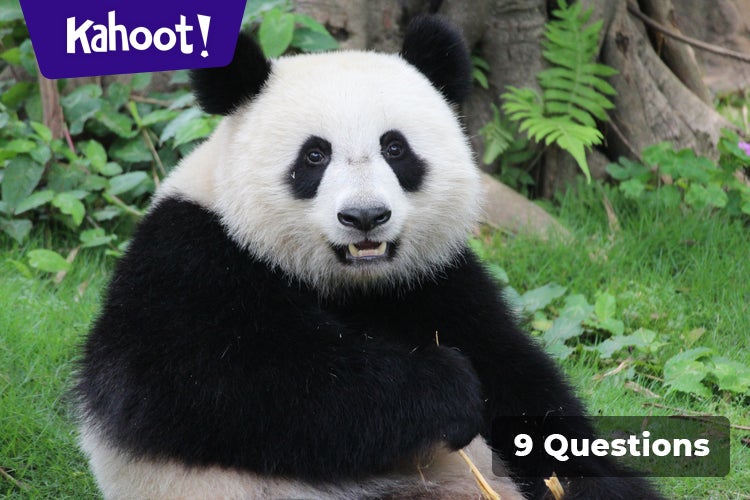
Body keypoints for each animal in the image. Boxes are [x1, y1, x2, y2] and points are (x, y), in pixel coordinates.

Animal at [76, 15, 664, 500]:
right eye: (315, 155)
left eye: (395, 148)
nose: (365, 217)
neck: (349, 283)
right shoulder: (189, 258)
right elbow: (219, 386)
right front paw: (446, 388)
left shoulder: (434, 279)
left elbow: (516, 375)